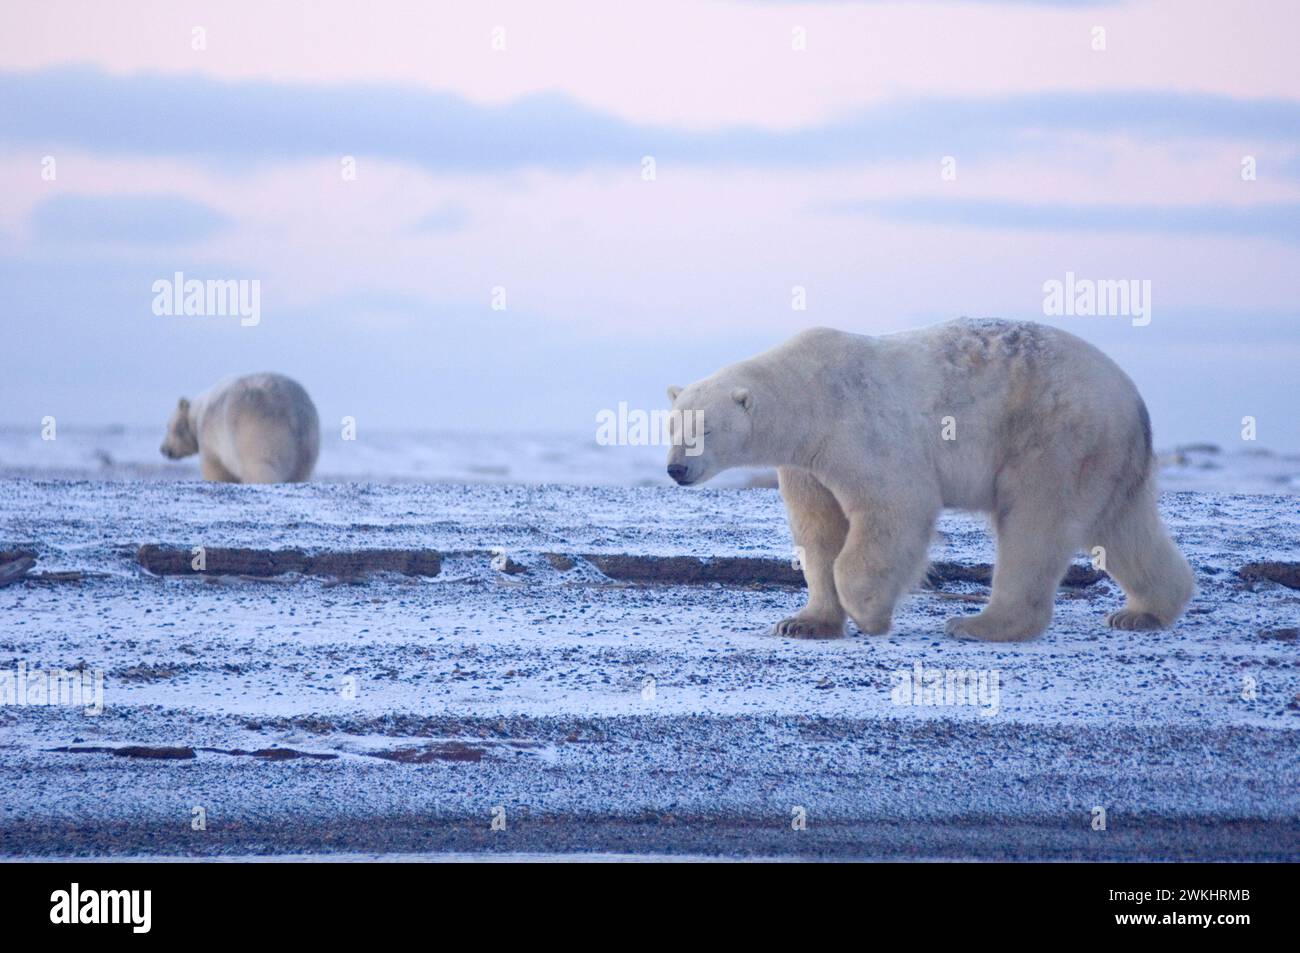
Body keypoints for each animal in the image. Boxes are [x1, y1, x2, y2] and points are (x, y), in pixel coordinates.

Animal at [160, 372, 320, 484]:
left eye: (168, 426)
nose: (163, 449)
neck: (198, 412)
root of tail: (292, 413)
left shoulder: (211, 439)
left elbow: (215, 467)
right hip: (308, 442)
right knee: (301, 472)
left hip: (258, 433)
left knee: (261, 467)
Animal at [665, 318, 1194, 642]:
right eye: (671, 427)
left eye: (704, 429)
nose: (676, 469)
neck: (808, 395)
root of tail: (1131, 397)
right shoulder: (806, 464)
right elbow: (818, 532)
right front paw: (803, 623)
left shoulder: (859, 430)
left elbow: (894, 508)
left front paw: (869, 613)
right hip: (1106, 455)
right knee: (1124, 526)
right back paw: (1144, 611)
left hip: (1054, 435)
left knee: (1033, 523)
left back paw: (980, 624)